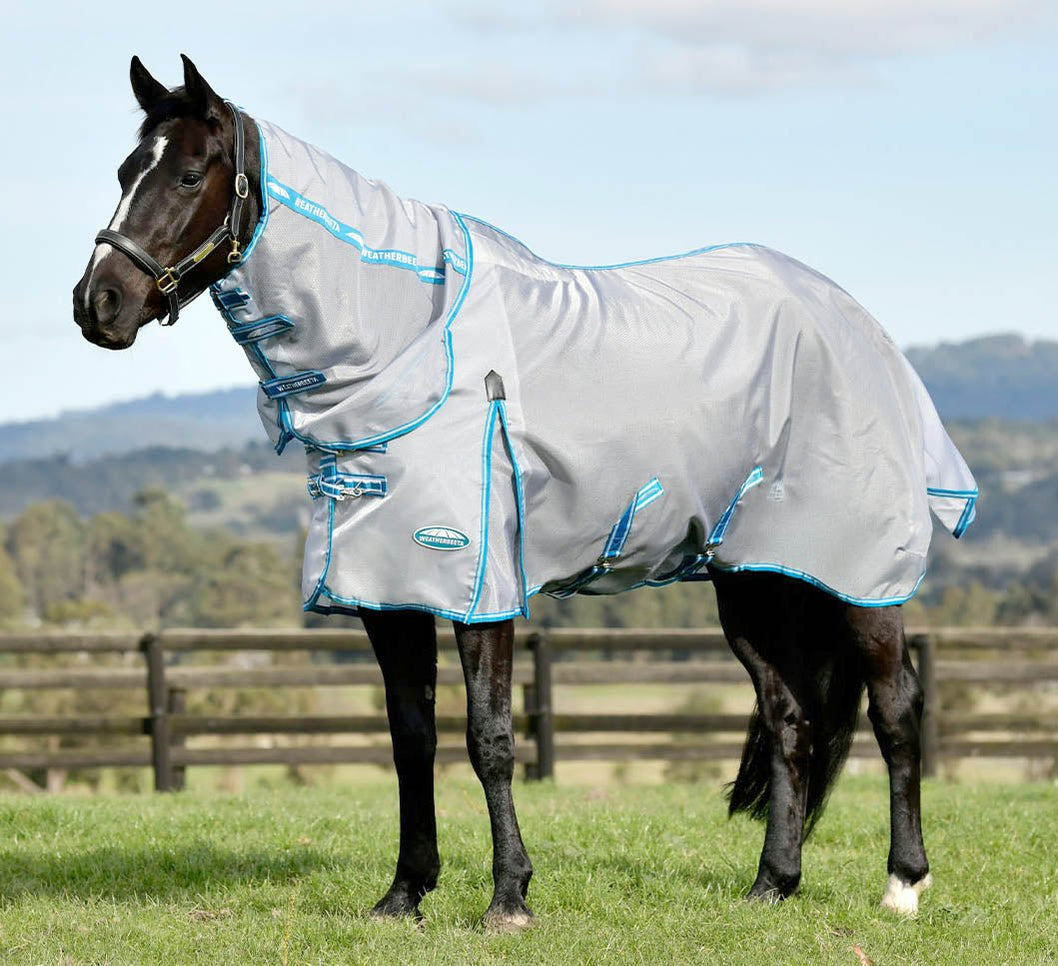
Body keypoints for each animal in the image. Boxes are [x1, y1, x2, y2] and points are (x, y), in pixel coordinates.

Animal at [73, 55, 976, 929]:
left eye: (189, 175)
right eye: (122, 170)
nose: (97, 304)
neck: (410, 342)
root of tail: (856, 321)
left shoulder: (481, 588)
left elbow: (490, 738)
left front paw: (509, 897)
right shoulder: (389, 593)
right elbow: (410, 739)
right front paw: (404, 895)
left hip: (860, 580)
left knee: (896, 710)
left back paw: (902, 886)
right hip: (756, 582)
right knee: (791, 718)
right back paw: (772, 886)